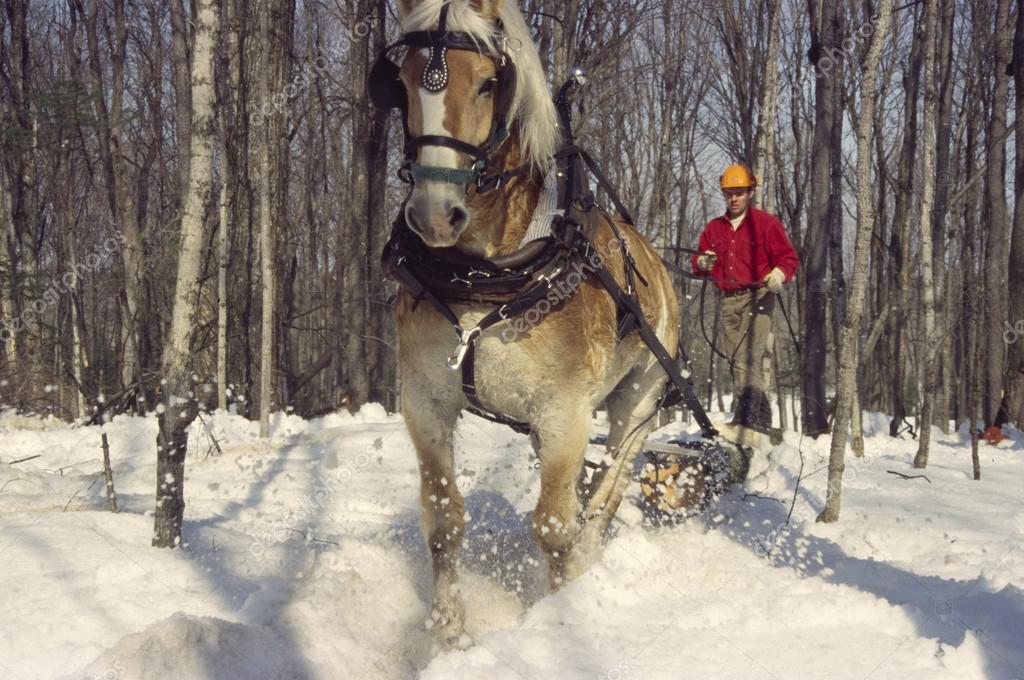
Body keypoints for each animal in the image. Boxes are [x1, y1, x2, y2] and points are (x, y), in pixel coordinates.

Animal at [379, 0, 680, 645]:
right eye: (403, 81)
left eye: (488, 84)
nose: (434, 215)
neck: (484, 273)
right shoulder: (425, 400)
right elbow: (444, 517)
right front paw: (448, 633)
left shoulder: (565, 412)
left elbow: (554, 527)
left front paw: (561, 612)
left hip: (640, 399)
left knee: (609, 485)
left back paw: (593, 553)